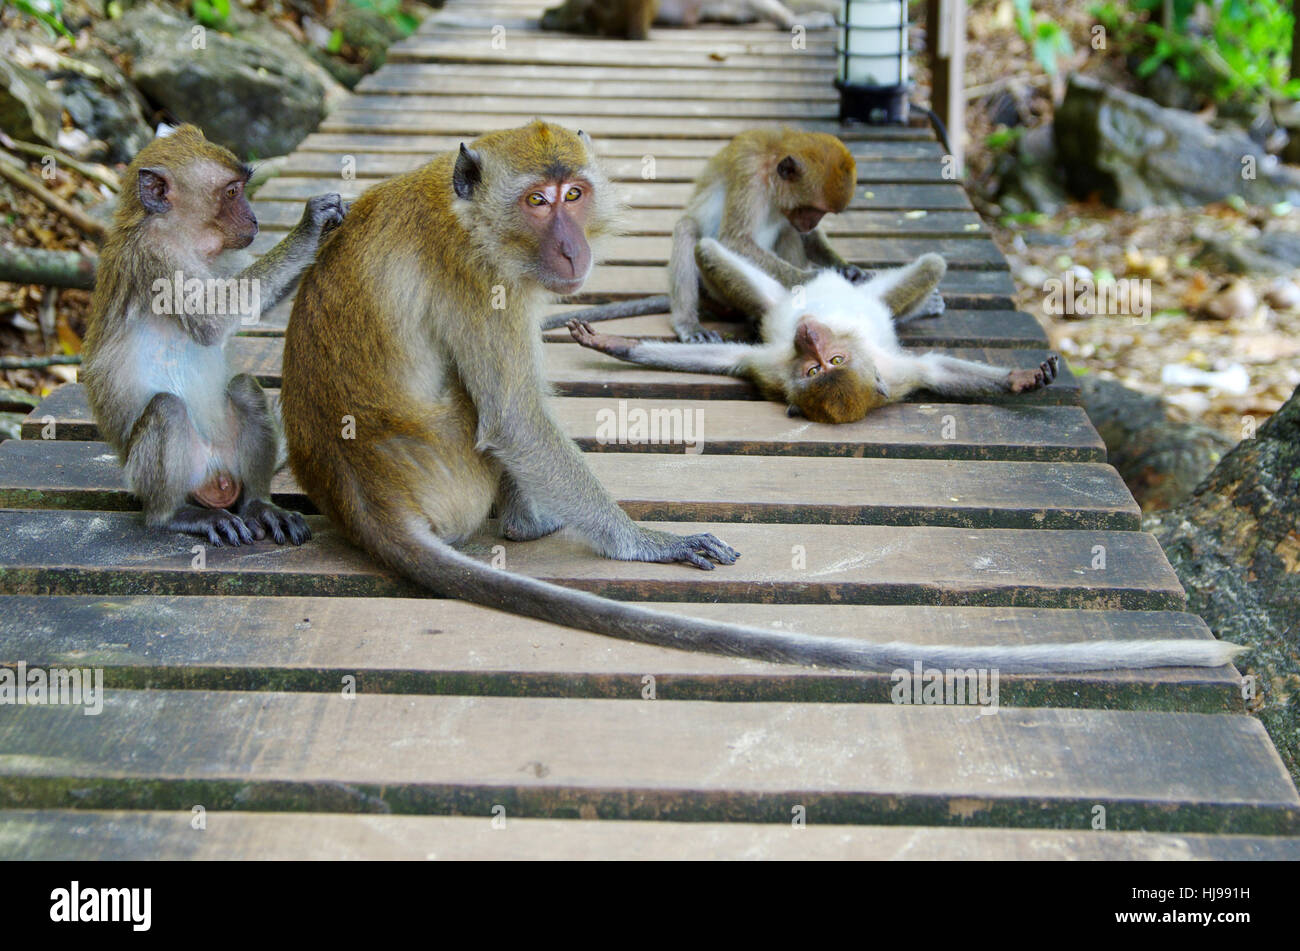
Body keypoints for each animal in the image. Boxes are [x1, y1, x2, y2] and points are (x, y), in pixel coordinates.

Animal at [80, 124, 345, 547]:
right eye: (233, 192)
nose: (254, 220)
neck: (178, 234)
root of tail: (214, 478)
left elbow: (250, 308)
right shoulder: (157, 257)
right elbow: (211, 321)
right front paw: (310, 227)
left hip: (229, 458)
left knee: (244, 389)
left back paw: (257, 504)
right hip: (158, 475)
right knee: (166, 409)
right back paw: (172, 515)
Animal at [570, 243, 1059, 424]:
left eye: (833, 363)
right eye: (814, 369)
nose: (808, 334)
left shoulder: (899, 372)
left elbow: (934, 369)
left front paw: (1020, 380)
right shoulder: (771, 366)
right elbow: (733, 359)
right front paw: (619, 344)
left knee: (932, 265)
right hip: (782, 295)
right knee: (707, 249)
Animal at [668, 128, 943, 343]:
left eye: (822, 213)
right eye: (812, 209)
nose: (811, 222)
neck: (772, 158)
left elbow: (805, 237)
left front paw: (847, 269)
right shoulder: (750, 175)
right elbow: (734, 240)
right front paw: (813, 278)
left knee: (789, 232)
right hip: (714, 291)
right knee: (686, 228)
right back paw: (688, 323)